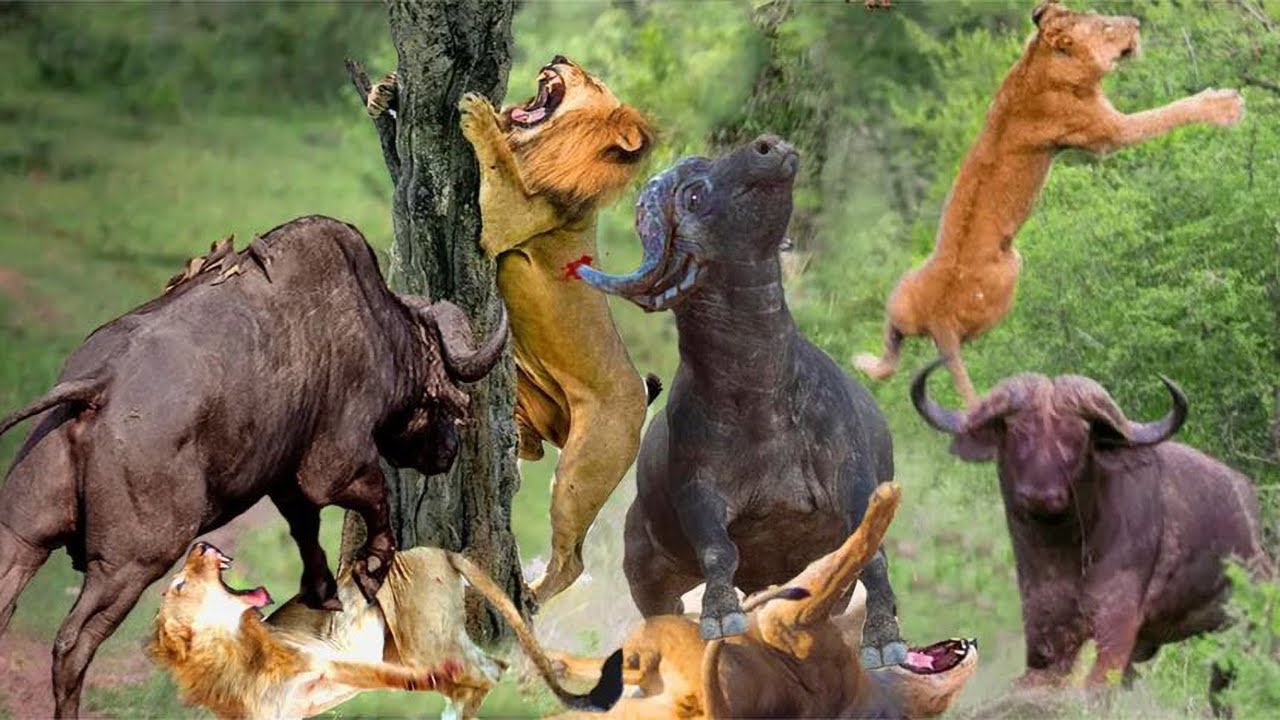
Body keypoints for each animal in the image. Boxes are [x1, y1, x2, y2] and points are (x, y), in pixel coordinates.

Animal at [0, 215, 506, 717]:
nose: (449, 450)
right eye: (447, 403)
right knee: (72, 644)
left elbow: (305, 530)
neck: (381, 331)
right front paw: (371, 569)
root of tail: (98, 386)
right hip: (127, 564)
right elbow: (376, 503)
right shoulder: (334, 468)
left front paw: (323, 592)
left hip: (23, 538)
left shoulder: (286, 480)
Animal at [150, 543, 619, 720]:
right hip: (434, 635)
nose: (200, 545)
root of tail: (442, 551)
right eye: (180, 584)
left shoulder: (327, 658)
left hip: (417, 633)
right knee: (491, 666)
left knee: (485, 670)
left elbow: (383, 676)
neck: (230, 650)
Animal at [367, 56, 657, 603]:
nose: (560, 58)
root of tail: (644, 396)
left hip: (581, 472)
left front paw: (479, 116)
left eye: (593, 79)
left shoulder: (499, 224)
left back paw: (529, 595)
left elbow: (498, 164)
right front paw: (384, 91)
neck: (536, 144)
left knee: (573, 559)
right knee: (527, 447)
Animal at [853, 1, 1244, 407]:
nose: (1136, 23)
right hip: (1010, 271)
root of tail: (939, 319)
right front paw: (1225, 105)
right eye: (1105, 27)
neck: (1040, 61)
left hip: (902, 293)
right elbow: (1167, 113)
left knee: (893, 344)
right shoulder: (1109, 131)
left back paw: (864, 362)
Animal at [912, 360, 1273, 690]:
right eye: (1018, 433)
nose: (1040, 495)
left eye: (1076, 438)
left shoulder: (1118, 623)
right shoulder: (1041, 623)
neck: (1064, 551)